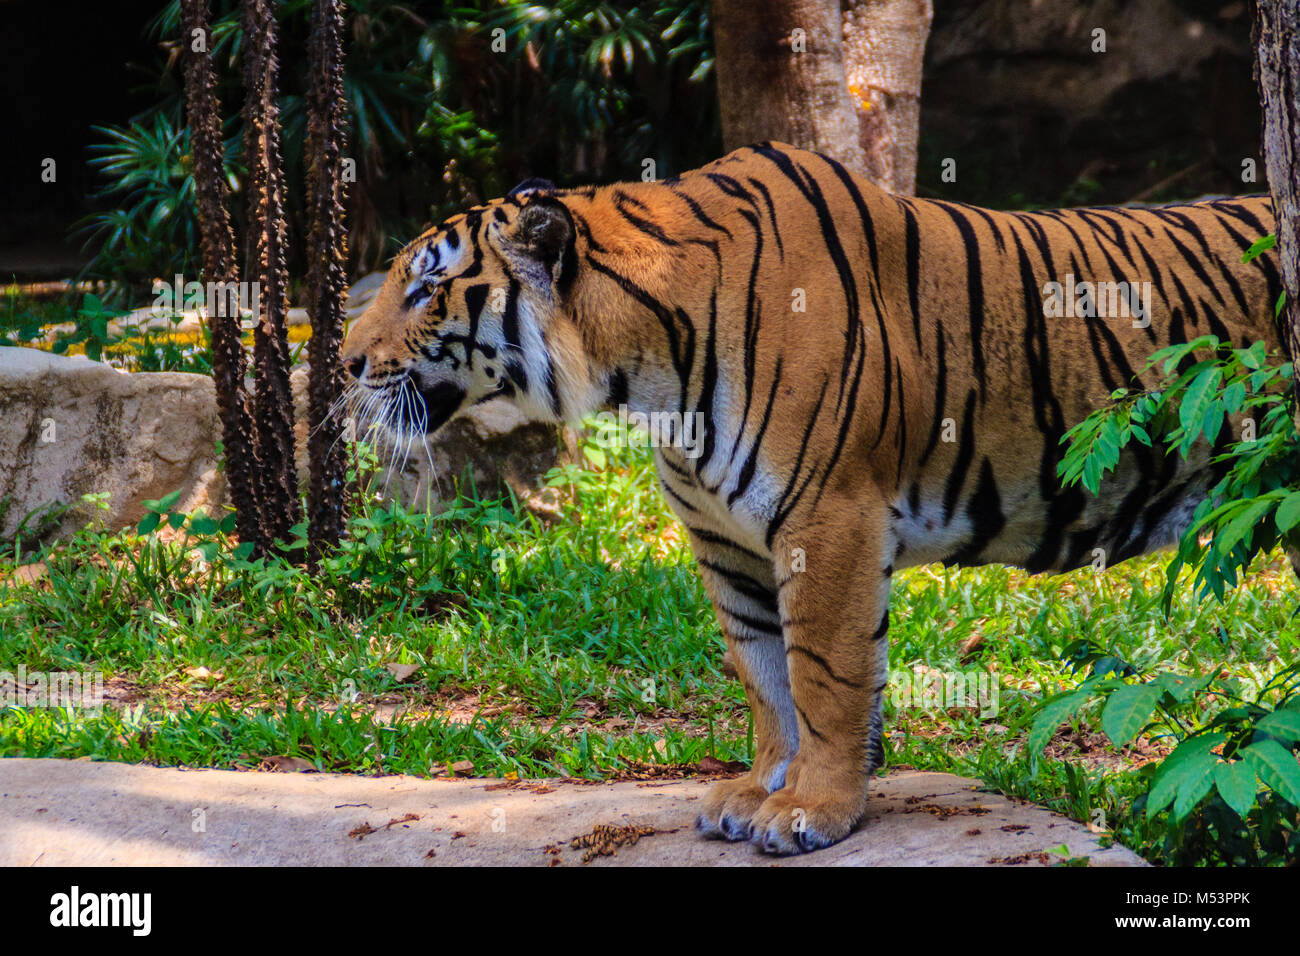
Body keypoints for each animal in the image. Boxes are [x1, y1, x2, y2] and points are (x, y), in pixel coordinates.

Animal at [340, 141, 1283, 855]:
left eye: (423, 290)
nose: (345, 360)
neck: (644, 372)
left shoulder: (829, 518)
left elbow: (824, 673)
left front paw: (814, 810)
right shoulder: (727, 541)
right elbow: (763, 673)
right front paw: (759, 788)